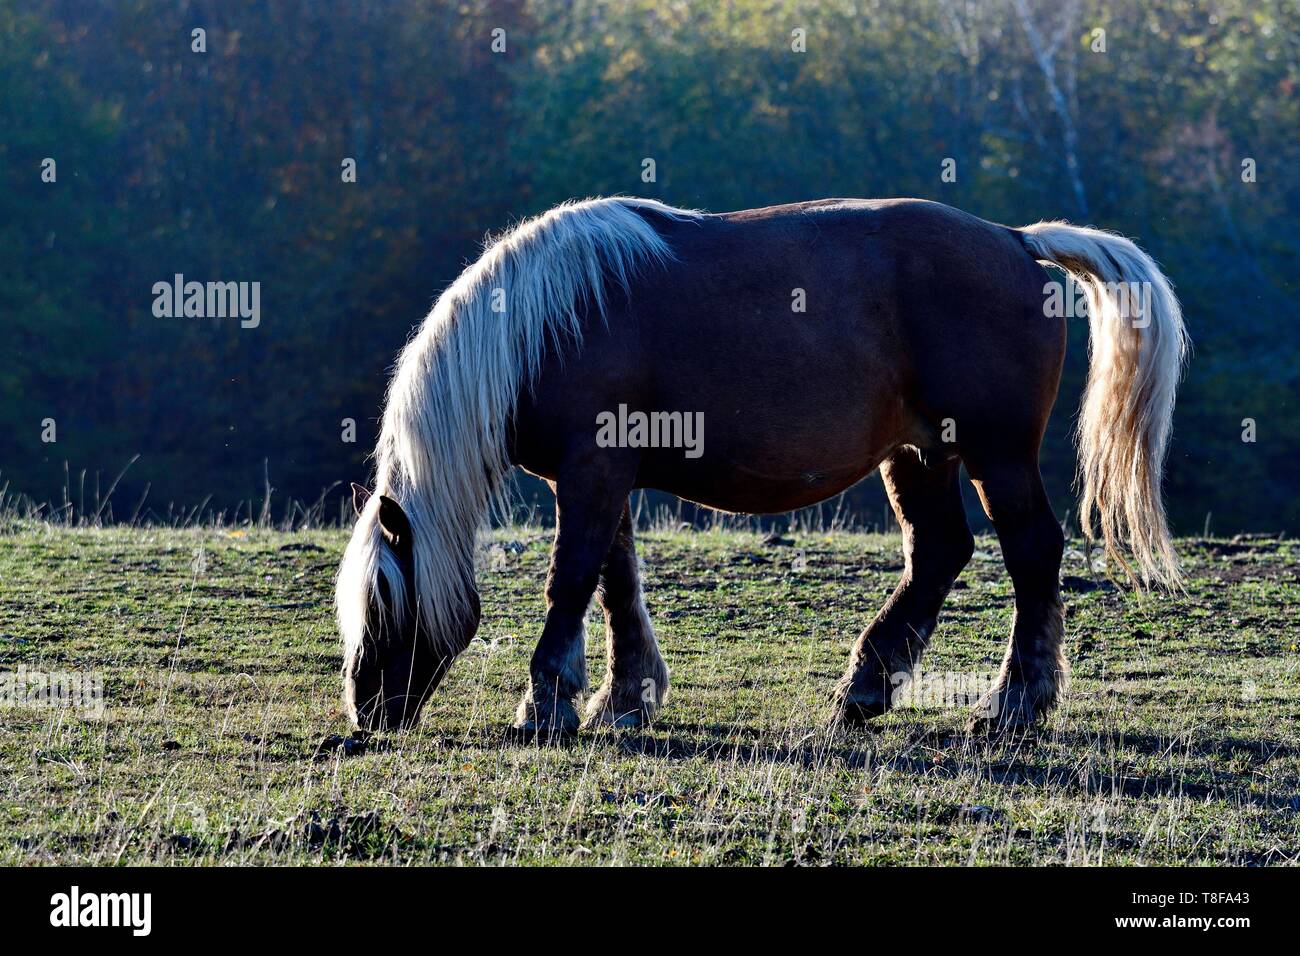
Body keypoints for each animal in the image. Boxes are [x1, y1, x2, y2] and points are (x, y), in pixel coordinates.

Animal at [337, 196, 1188, 736]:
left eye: (383, 600)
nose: (365, 710)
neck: (553, 322)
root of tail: (1015, 237)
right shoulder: (603, 479)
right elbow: (616, 581)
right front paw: (624, 697)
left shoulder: (591, 473)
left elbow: (571, 580)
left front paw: (545, 705)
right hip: (919, 456)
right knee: (939, 554)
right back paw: (865, 691)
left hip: (996, 455)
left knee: (1031, 553)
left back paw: (1017, 703)